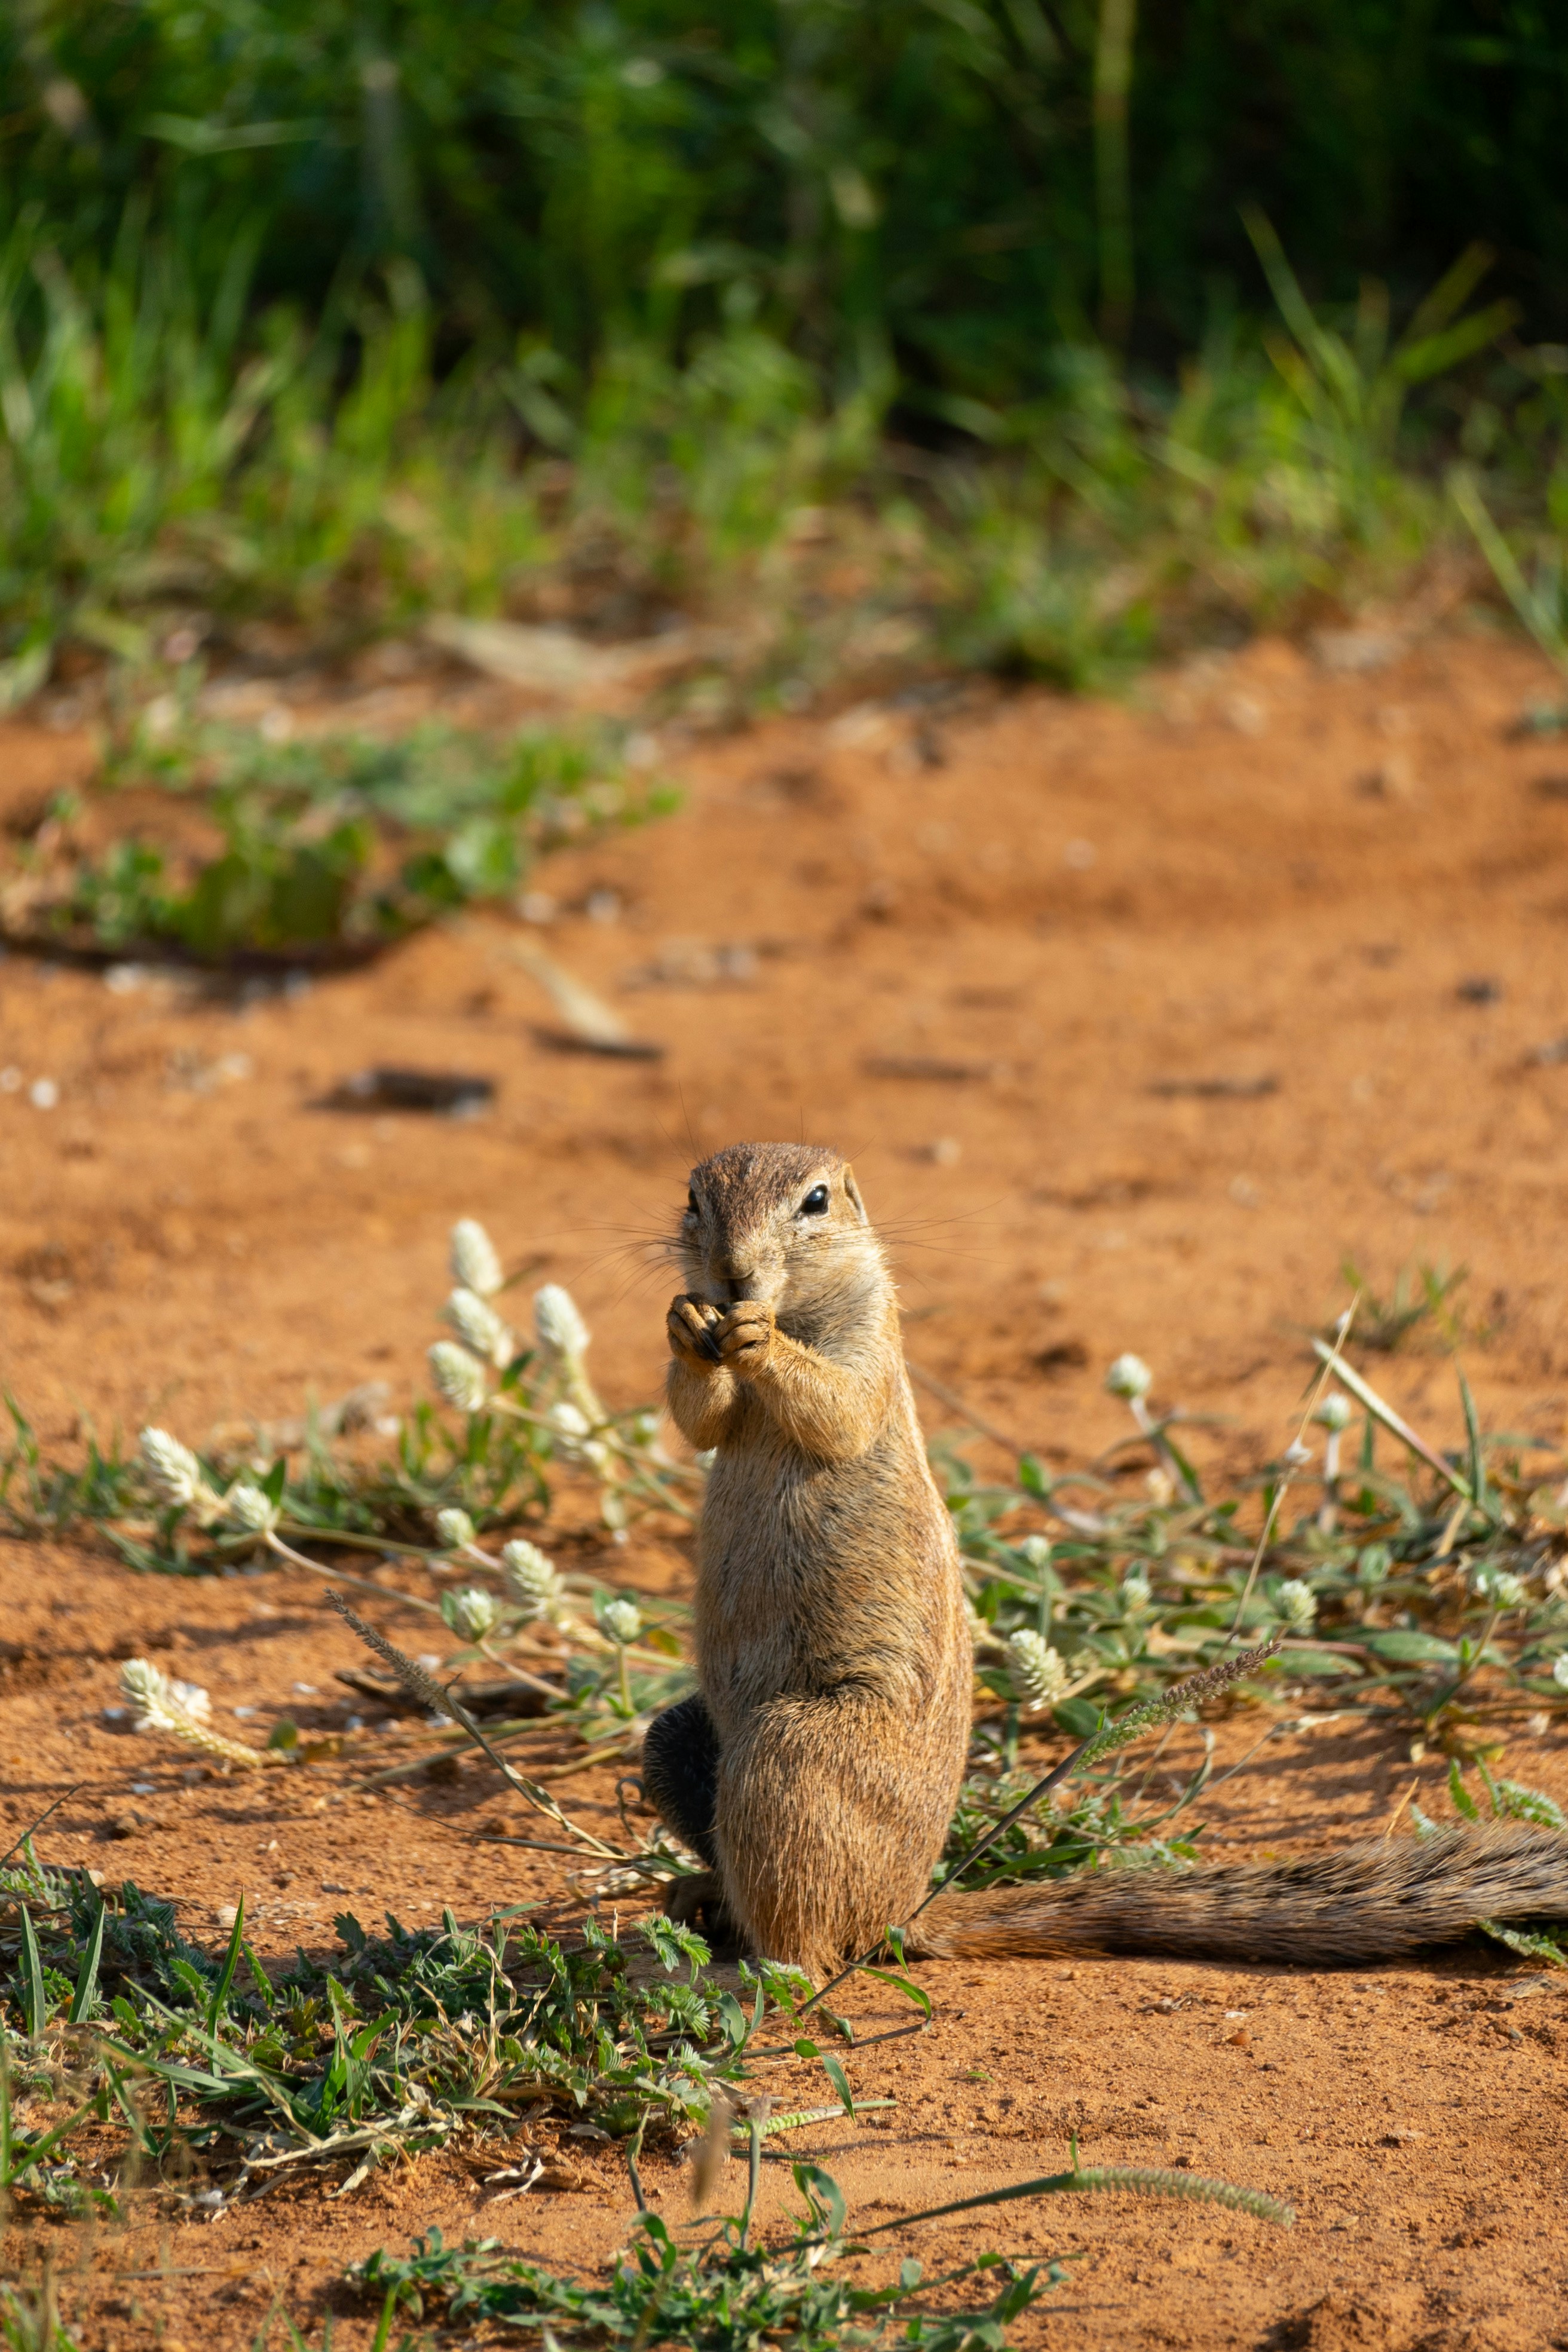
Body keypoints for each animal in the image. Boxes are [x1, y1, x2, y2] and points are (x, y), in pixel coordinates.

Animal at [640, 1142, 1568, 1981]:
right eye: (691, 1196)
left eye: (817, 1200)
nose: (731, 1276)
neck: (797, 1311)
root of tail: (907, 1910)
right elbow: (701, 1420)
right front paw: (687, 1327)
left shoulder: (870, 1349)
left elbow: (833, 1408)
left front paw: (755, 1337)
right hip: (679, 1735)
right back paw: (697, 1902)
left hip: (791, 1755)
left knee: (813, 1949)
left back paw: (733, 1972)